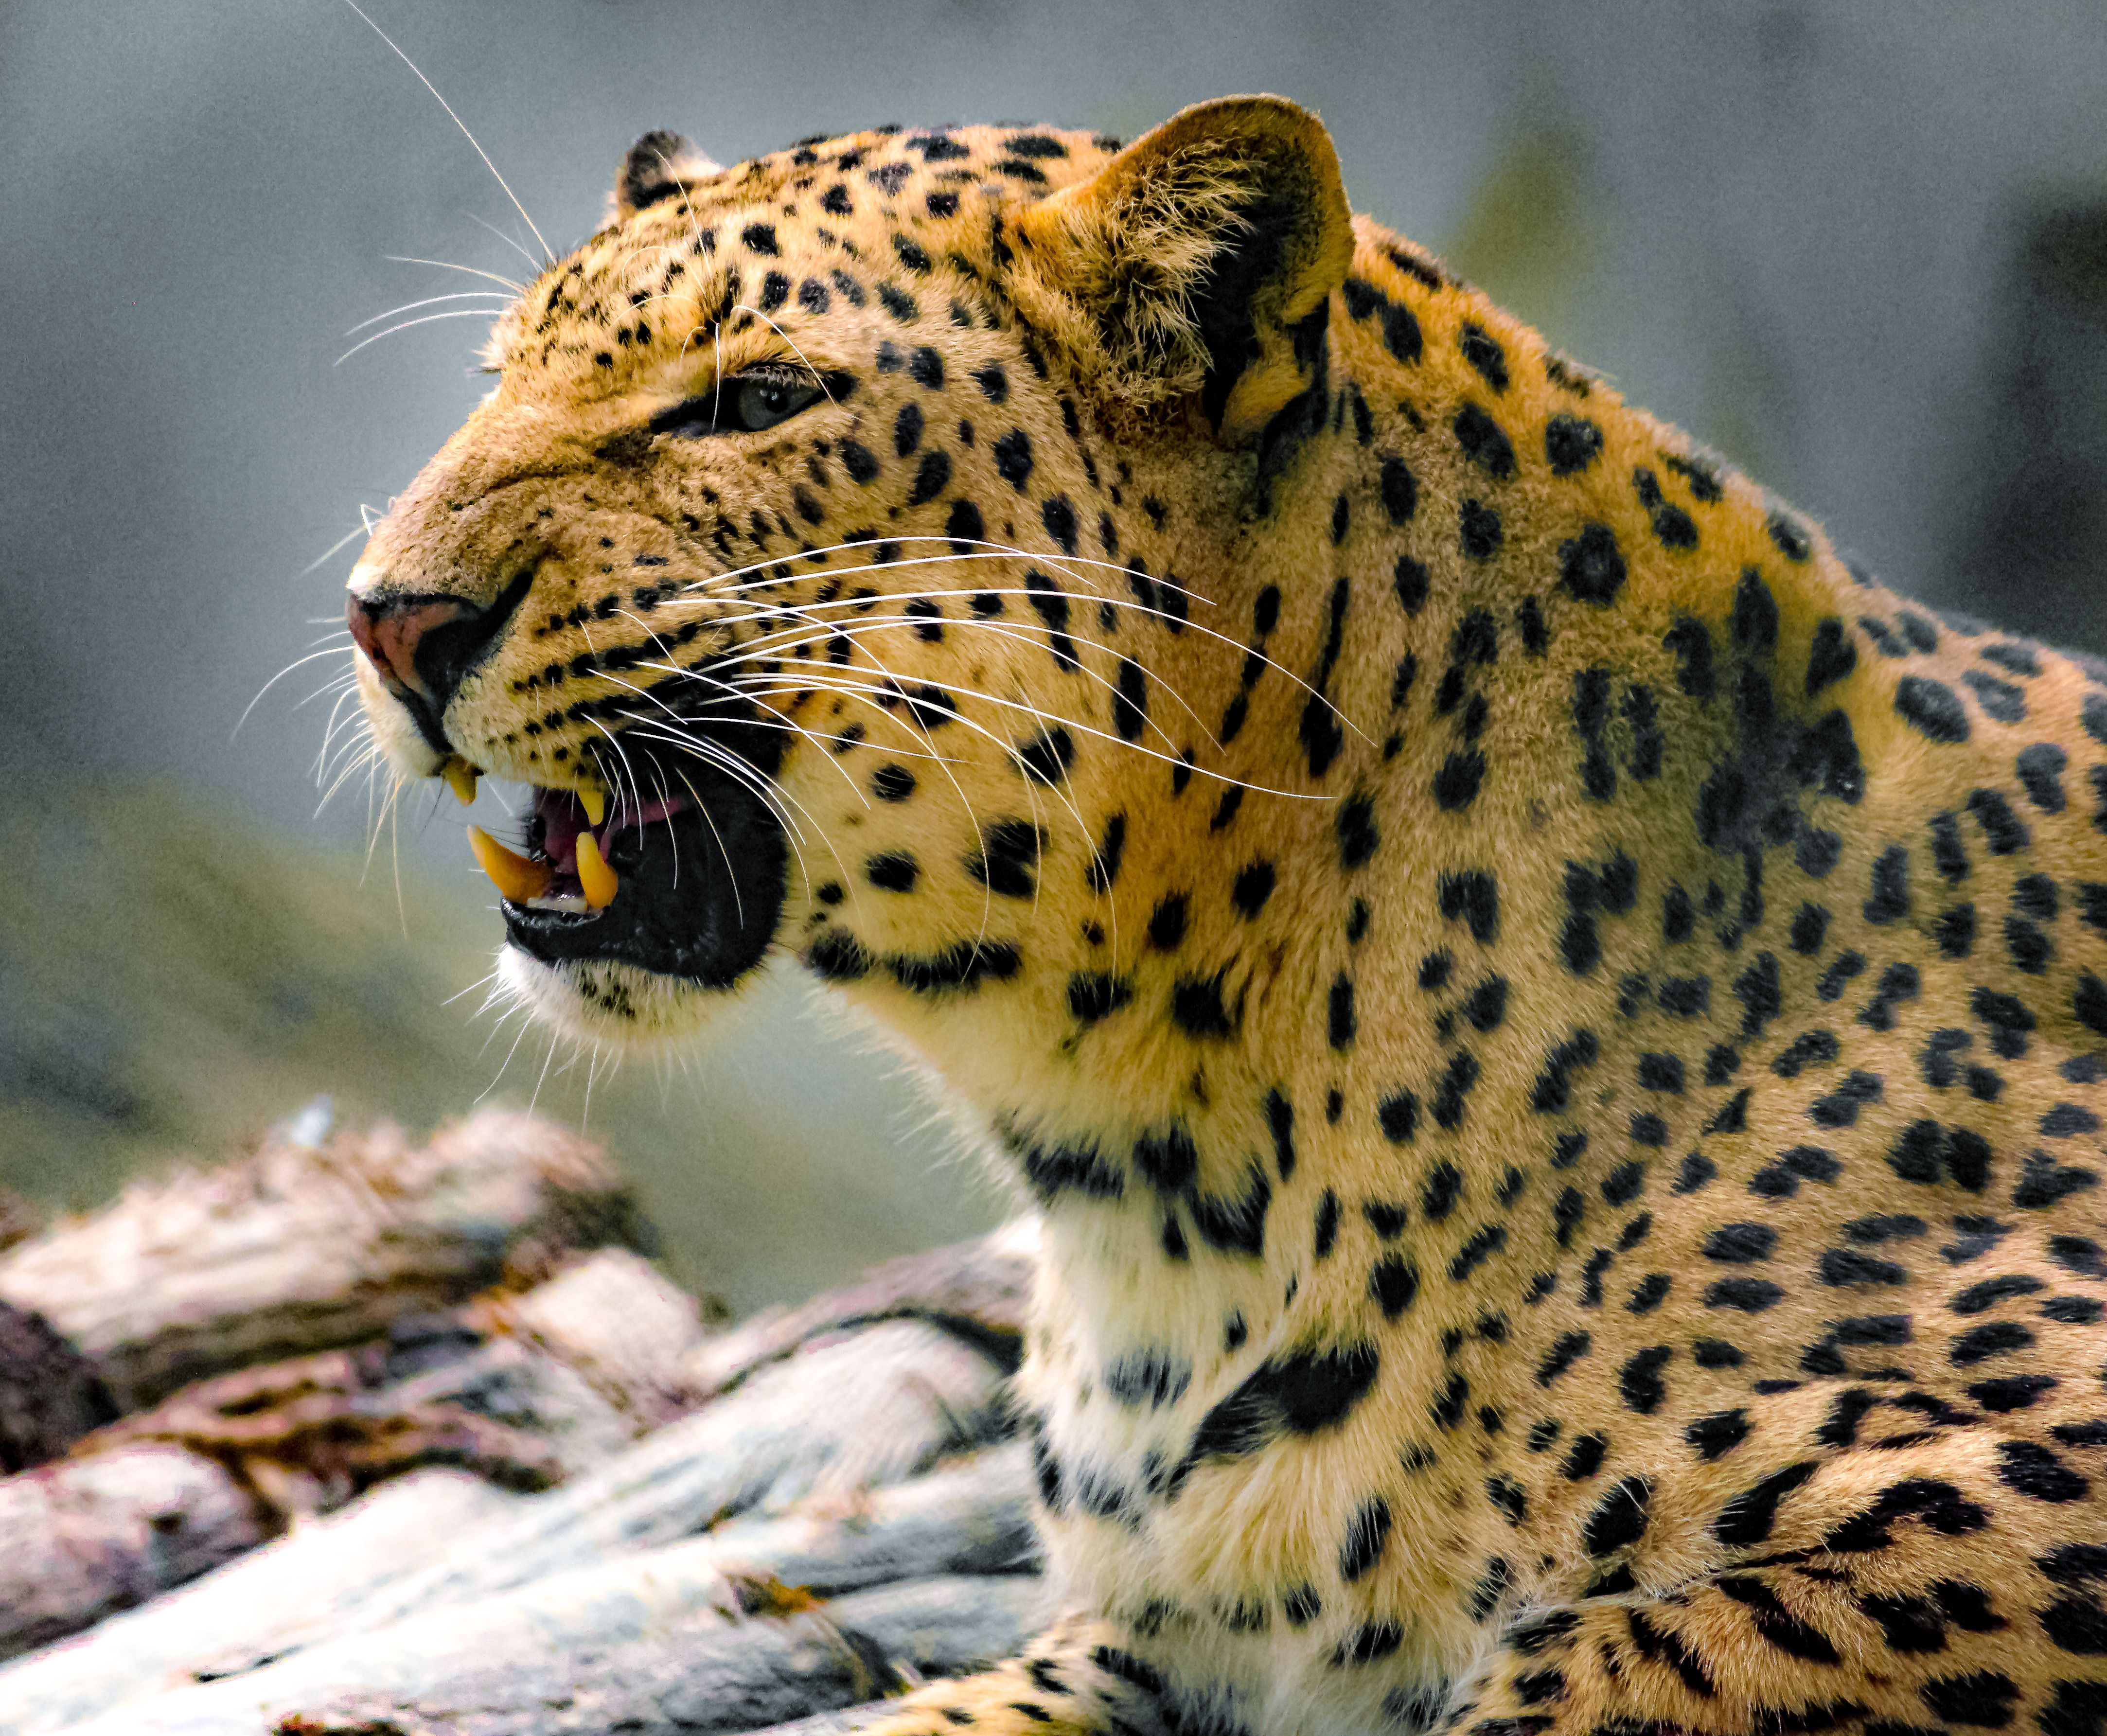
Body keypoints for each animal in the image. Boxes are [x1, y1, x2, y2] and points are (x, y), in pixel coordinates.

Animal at [344, 95, 2107, 1736]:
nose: (387, 620)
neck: (1155, 1180)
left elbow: (1614, 1663)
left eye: (756, 401)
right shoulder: (1155, 1640)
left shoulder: (2007, 1500)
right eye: (498, 376)